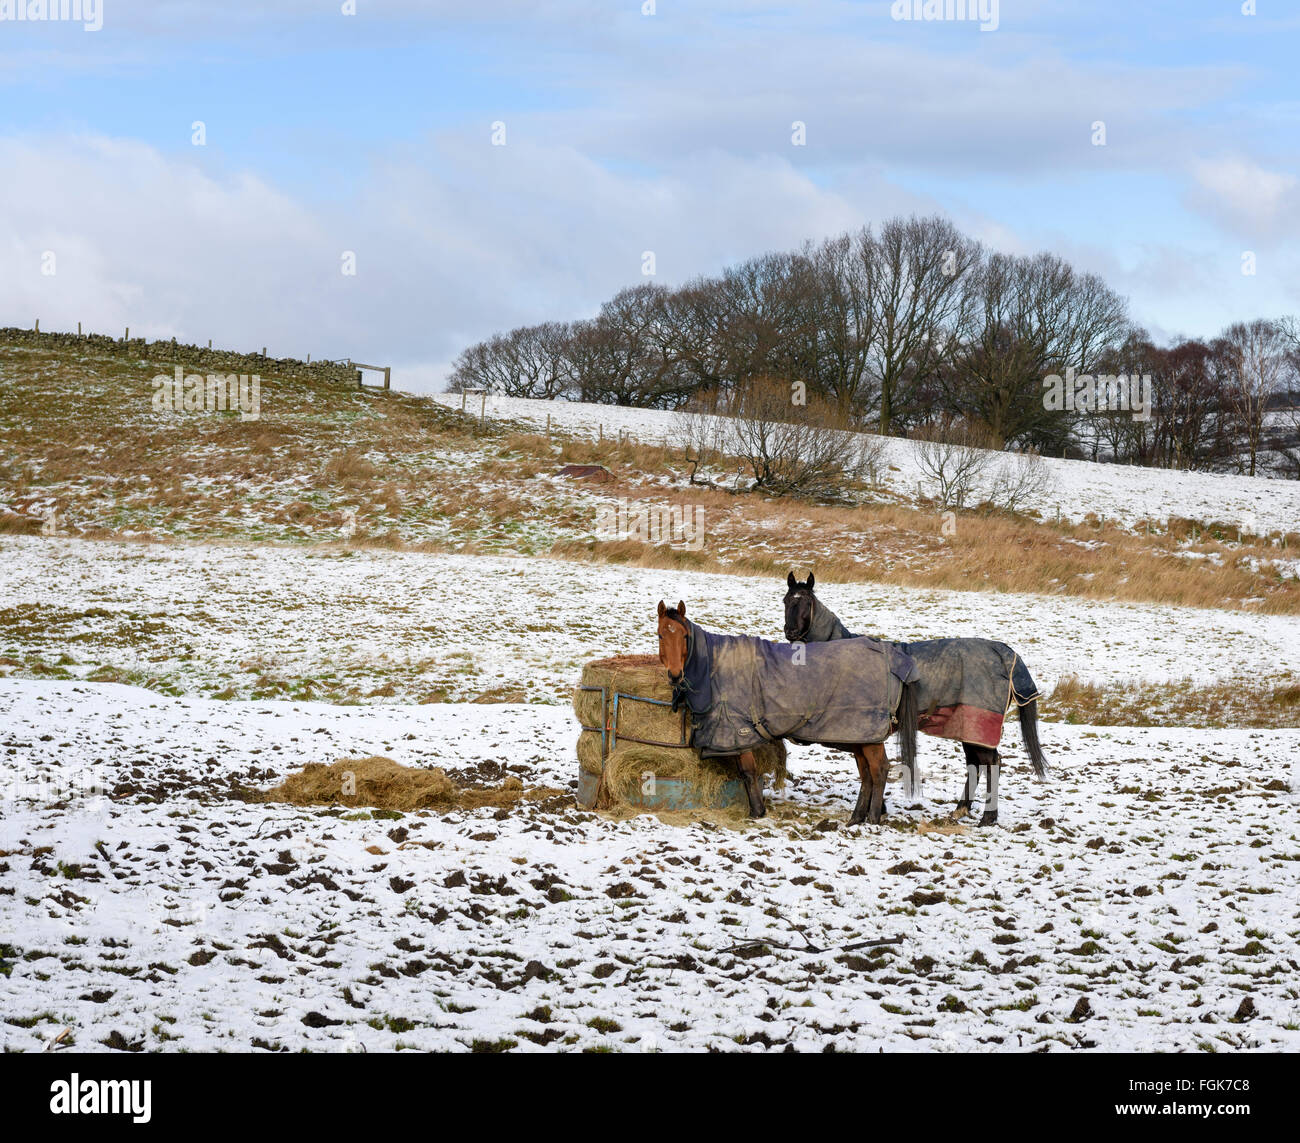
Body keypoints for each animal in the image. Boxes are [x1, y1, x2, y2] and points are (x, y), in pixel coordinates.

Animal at [656, 599, 919, 824]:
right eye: (660, 634)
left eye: (685, 636)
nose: (675, 675)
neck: (714, 664)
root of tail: (892, 658)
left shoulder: (738, 732)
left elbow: (748, 772)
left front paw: (757, 811)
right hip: (860, 736)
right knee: (867, 773)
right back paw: (857, 817)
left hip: (869, 734)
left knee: (879, 770)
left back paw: (872, 818)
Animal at [782, 572, 1048, 825]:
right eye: (786, 600)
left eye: (806, 601)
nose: (791, 632)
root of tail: (1004, 653)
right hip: (967, 728)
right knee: (975, 764)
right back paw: (960, 809)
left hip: (980, 728)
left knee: (992, 763)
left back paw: (987, 817)